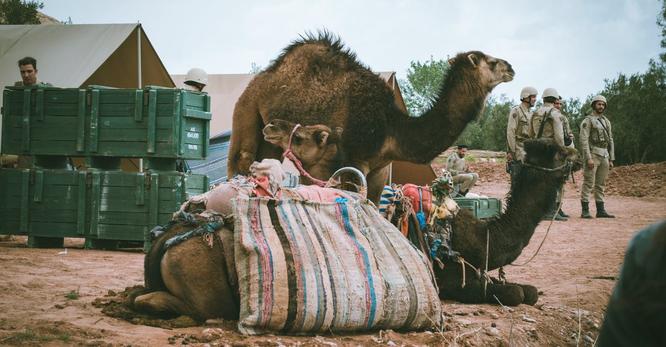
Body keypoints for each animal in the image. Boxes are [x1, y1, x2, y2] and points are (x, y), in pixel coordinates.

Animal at [226, 32, 510, 203]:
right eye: (491, 62)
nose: (511, 67)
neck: (392, 128)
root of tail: (262, 79)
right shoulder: (354, 162)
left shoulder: (380, 169)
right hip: (246, 111)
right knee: (240, 160)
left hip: (269, 136)